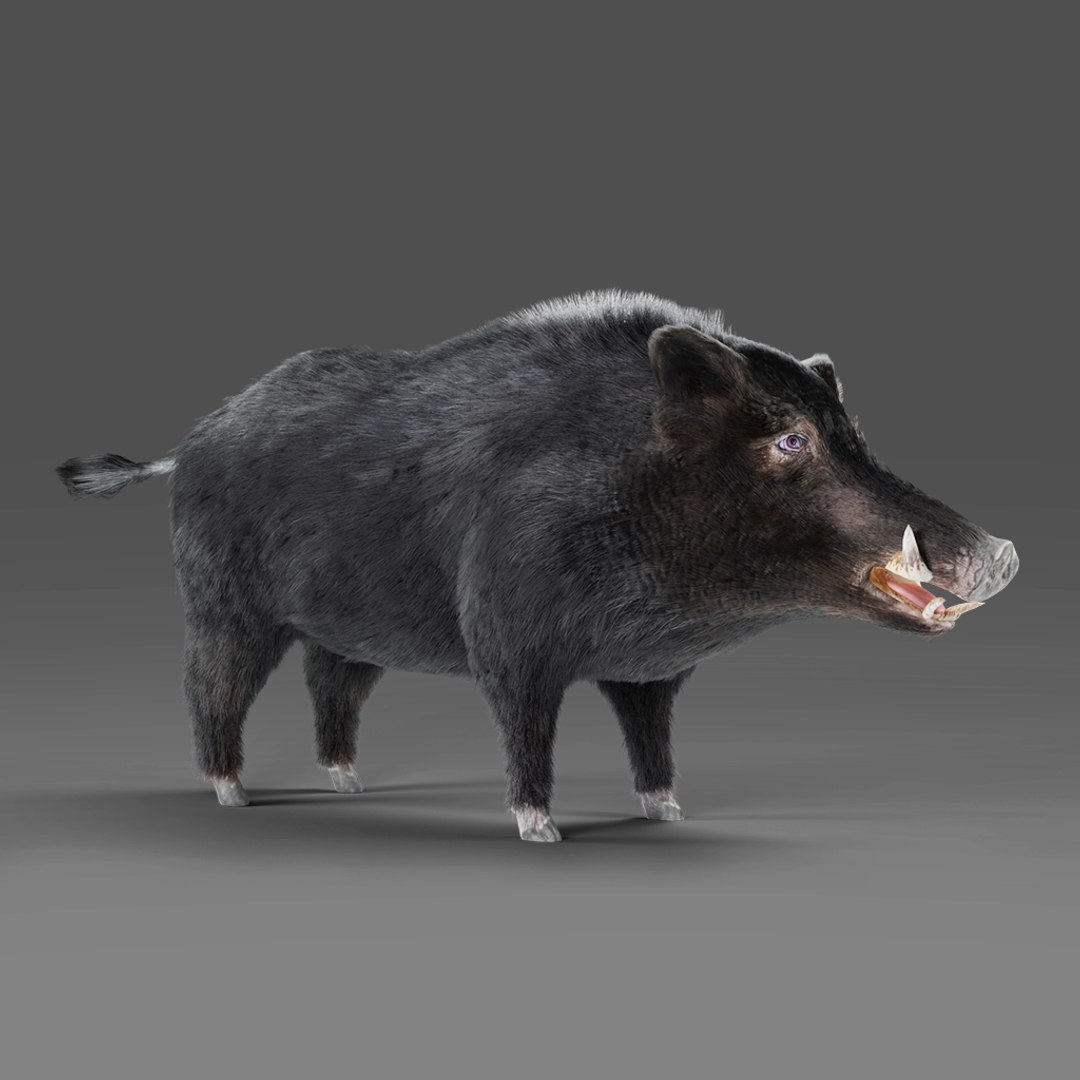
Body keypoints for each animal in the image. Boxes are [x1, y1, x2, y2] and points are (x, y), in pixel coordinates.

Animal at [56, 291, 1019, 841]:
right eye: (791, 441)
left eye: (855, 434)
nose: (1005, 551)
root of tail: (190, 442)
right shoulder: (509, 638)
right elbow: (526, 728)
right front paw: (540, 832)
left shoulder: (649, 673)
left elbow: (652, 742)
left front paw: (669, 814)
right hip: (224, 602)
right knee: (209, 685)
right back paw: (233, 799)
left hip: (346, 627)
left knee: (333, 683)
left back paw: (348, 784)